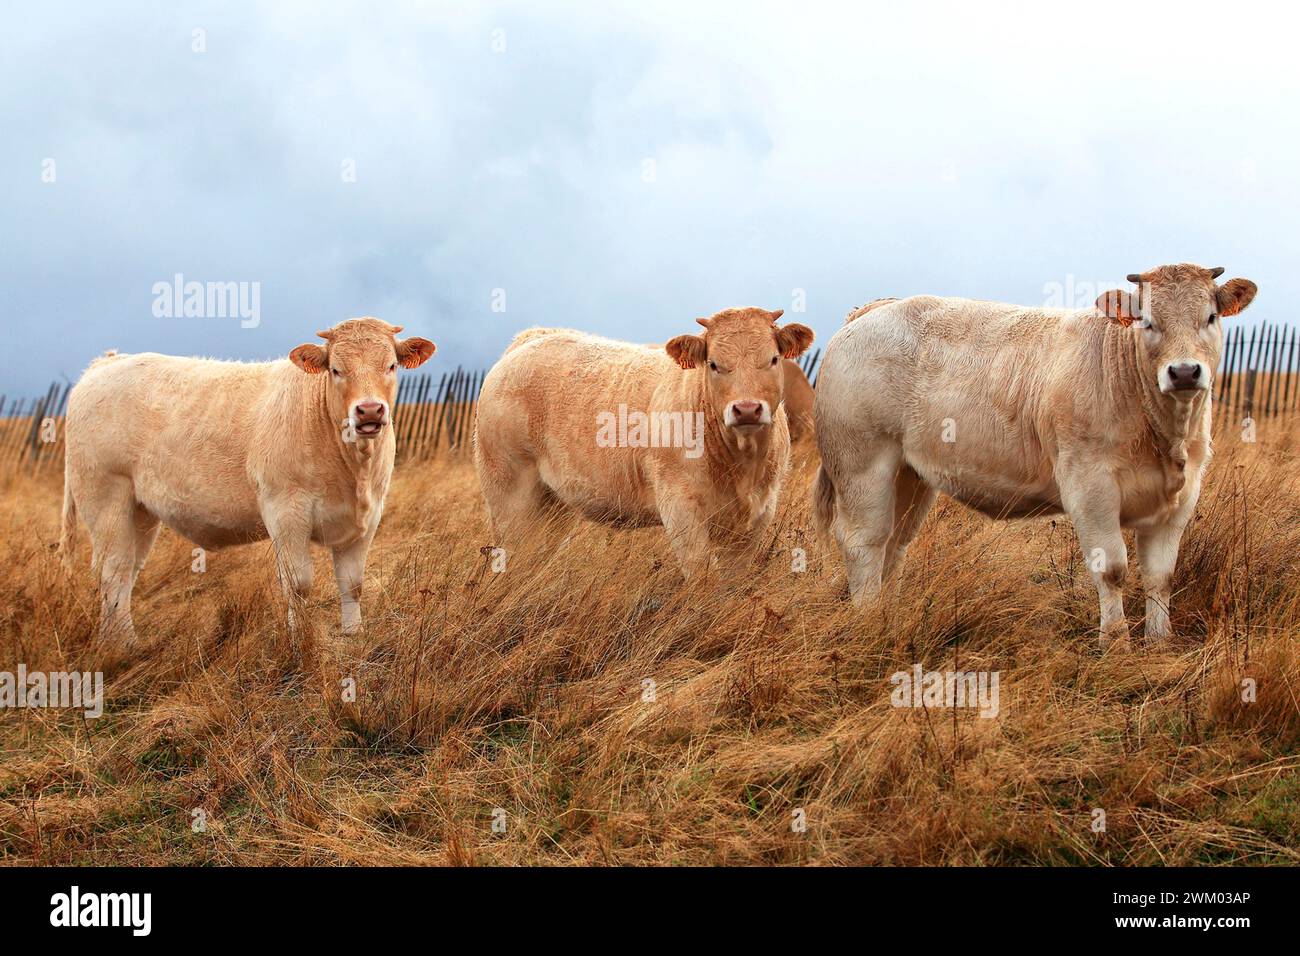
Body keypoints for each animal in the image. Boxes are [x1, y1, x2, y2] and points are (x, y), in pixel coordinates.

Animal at [60, 317, 435, 646]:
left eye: (391, 366)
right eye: (335, 369)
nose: (369, 410)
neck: (353, 468)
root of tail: (108, 361)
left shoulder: (367, 517)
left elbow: (352, 584)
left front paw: (354, 637)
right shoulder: (286, 512)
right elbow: (298, 584)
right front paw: (300, 644)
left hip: (140, 513)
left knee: (127, 573)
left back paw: (121, 642)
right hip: (106, 497)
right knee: (112, 571)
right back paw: (120, 646)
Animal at [473, 308, 814, 574]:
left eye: (773, 359)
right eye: (714, 364)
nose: (746, 409)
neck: (740, 465)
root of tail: (532, 338)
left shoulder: (760, 513)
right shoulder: (680, 510)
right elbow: (702, 576)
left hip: (554, 504)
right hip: (509, 494)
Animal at [813, 264, 1257, 650]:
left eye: (1211, 316)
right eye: (1147, 321)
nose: (1183, 372)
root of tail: (877, 308)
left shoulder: (1180, 498)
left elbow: (1160, 576)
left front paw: (1159, 643)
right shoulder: (1090, 489)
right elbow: (1113, 570)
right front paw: (1115, 643)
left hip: (910, 475)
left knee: (895, 544)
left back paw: (889, 617)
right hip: (862, 464)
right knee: (864, 542)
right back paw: (868, 621)